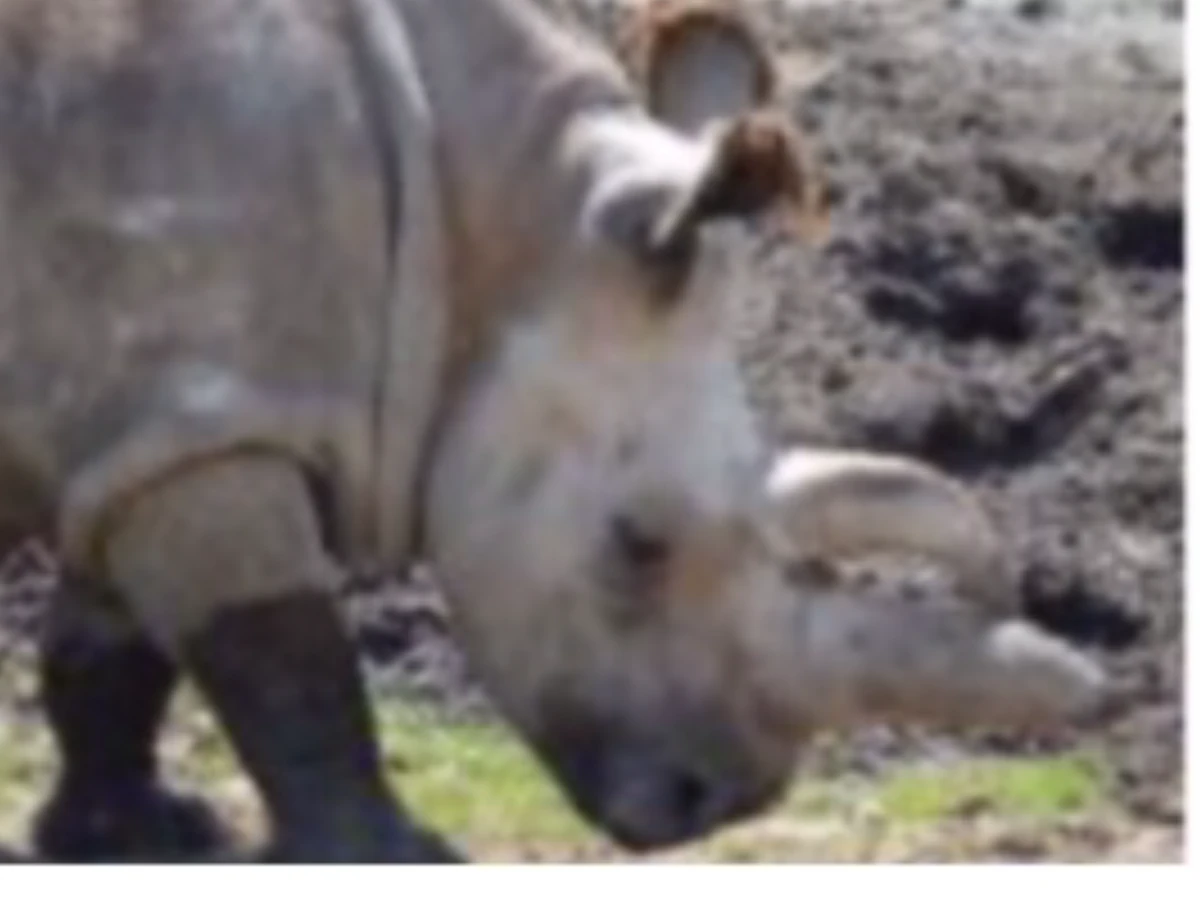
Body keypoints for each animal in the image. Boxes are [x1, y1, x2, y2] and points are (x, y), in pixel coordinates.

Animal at [0, 0, 1106, 862]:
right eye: (639, 546)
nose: (716, 805)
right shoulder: (209, 412)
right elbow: (281, 650)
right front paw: (393, 857)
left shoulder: (162, 422)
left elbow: (113, 644)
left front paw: (138, 837)